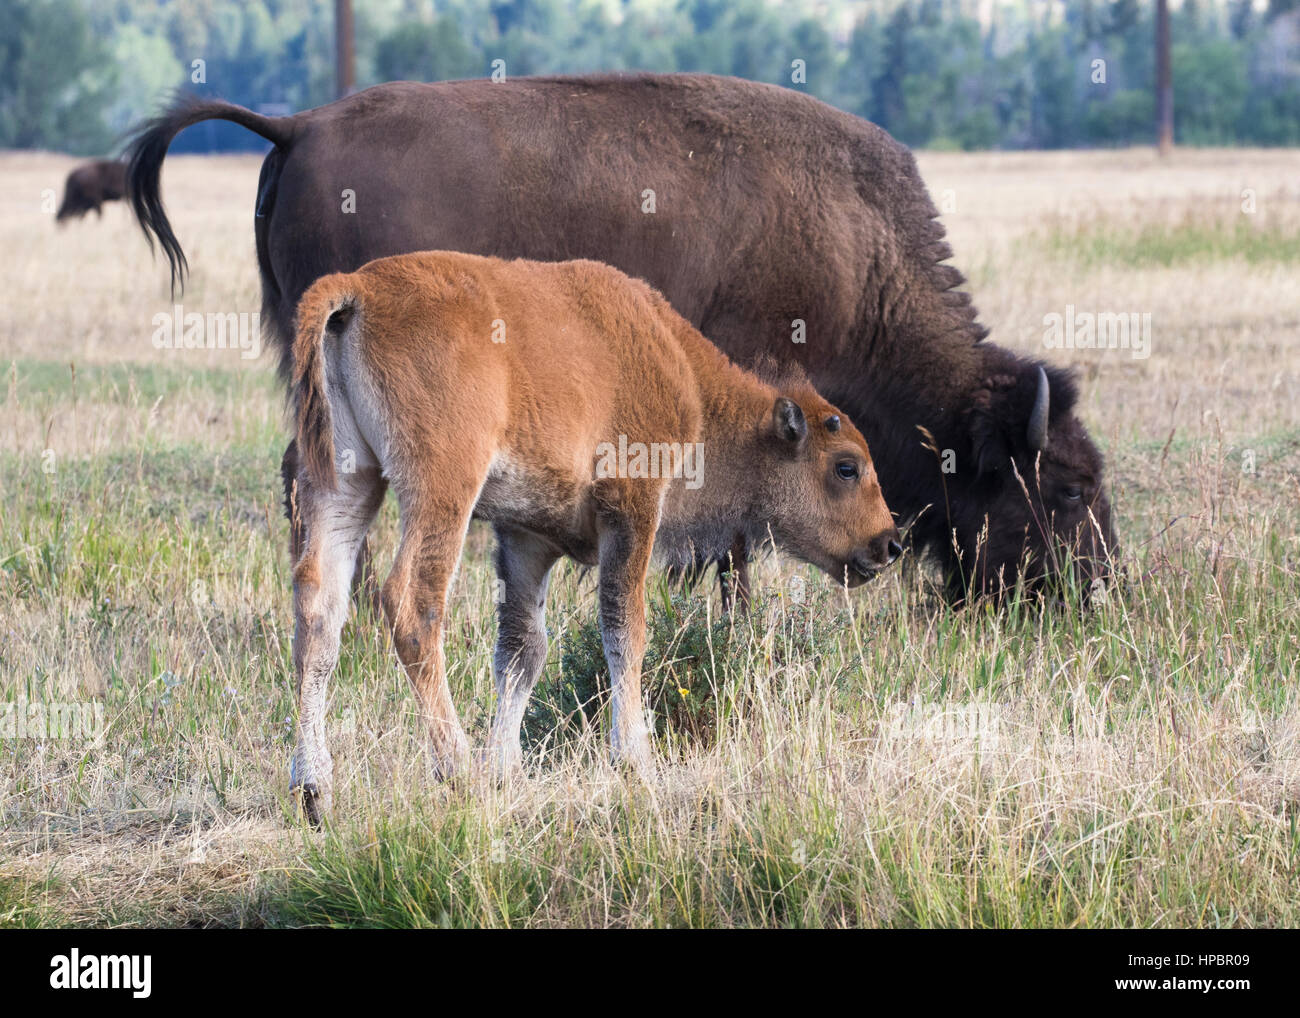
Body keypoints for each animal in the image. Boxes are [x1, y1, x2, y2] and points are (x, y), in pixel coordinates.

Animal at [288, 250, 901, 820]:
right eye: (846, 467)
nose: (890, 544)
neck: (691, 388)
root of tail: (358, 289)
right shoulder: (632, 508)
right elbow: (624, 631)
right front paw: (634, 760)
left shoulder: (525, 538)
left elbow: (522, 651)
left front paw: (506, 771)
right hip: (443, 485)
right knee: (412, 603)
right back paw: (456, 771)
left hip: (347, 481)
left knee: (319, 608)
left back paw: (314, 790)